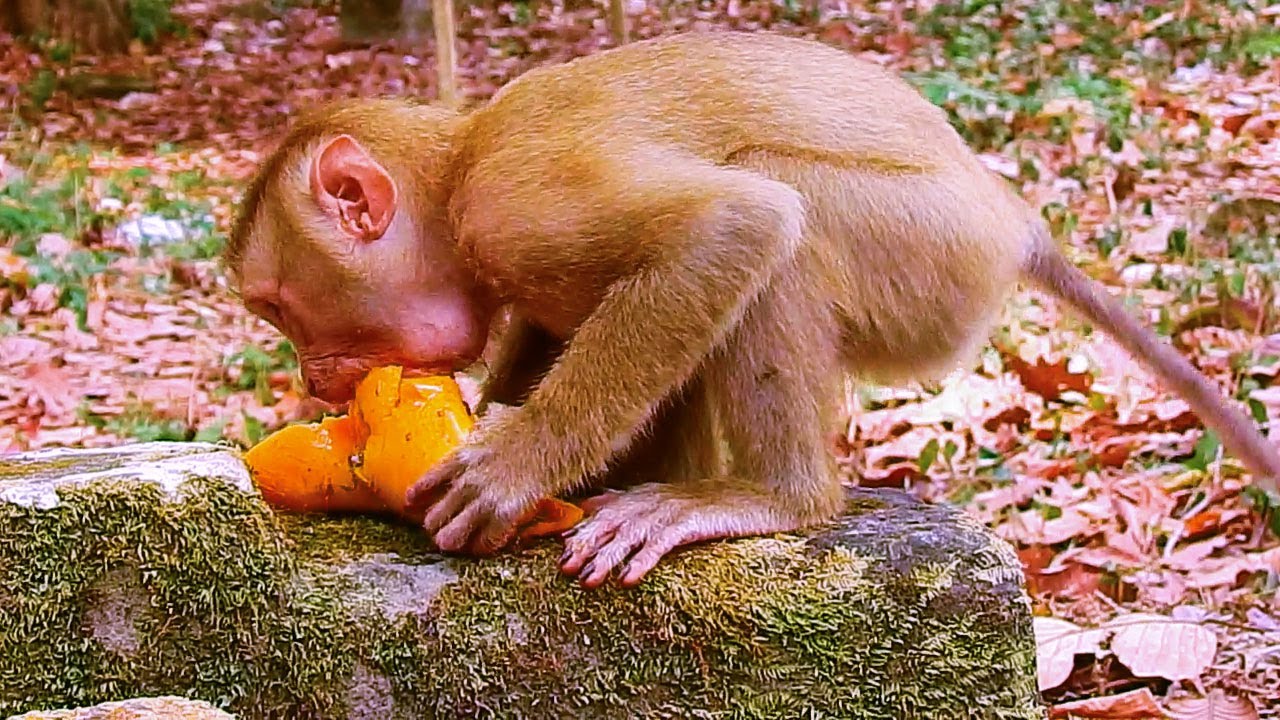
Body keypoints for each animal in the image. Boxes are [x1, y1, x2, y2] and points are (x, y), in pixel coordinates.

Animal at [226, 30, 1280, 590]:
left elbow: (733, 223)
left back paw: (774, 500)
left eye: (277, 306)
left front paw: (515, 462)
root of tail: (1010, 217)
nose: (312, 374)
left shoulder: (515, 202)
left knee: (783, 209)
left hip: (935, 264)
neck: (459, 170)